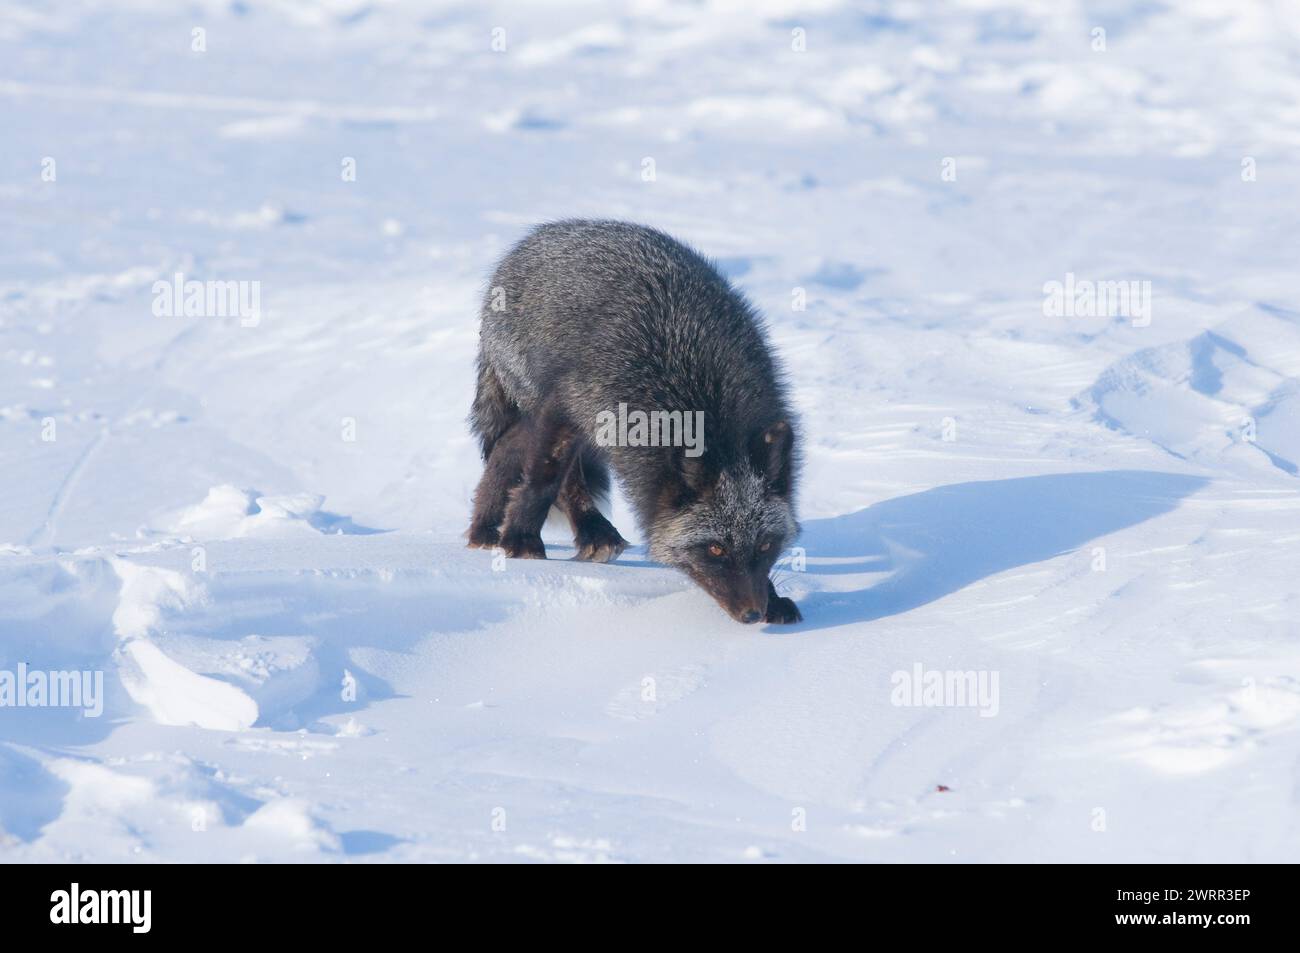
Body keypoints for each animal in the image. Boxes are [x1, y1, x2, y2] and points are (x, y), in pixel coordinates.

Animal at [467, 220, 801, 625]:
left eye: (766, 544)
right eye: (715, 550)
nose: (752, 614)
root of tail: (540, 234)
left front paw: (775, 599)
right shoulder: (566, 405)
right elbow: (545, 479)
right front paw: (521, 541)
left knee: (507, 448)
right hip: (541, 402)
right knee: (541, 465)